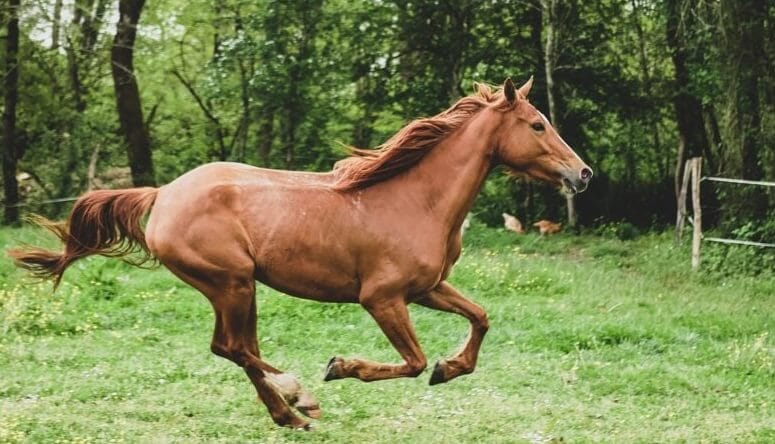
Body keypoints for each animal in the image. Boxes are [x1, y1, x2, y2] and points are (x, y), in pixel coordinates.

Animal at [9, 78, 592, 430]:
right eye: (537, 124)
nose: (582, 173)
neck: (415, 200)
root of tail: (164, 193)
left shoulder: (426, 288)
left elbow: (481, 317)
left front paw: (451, 369)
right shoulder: (382, 298)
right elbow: (411, 361)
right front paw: (342, 366)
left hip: (239, 289)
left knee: (237, 348)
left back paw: (289, 410)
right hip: (232, 282)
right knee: (233, 348)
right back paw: (298, 398)